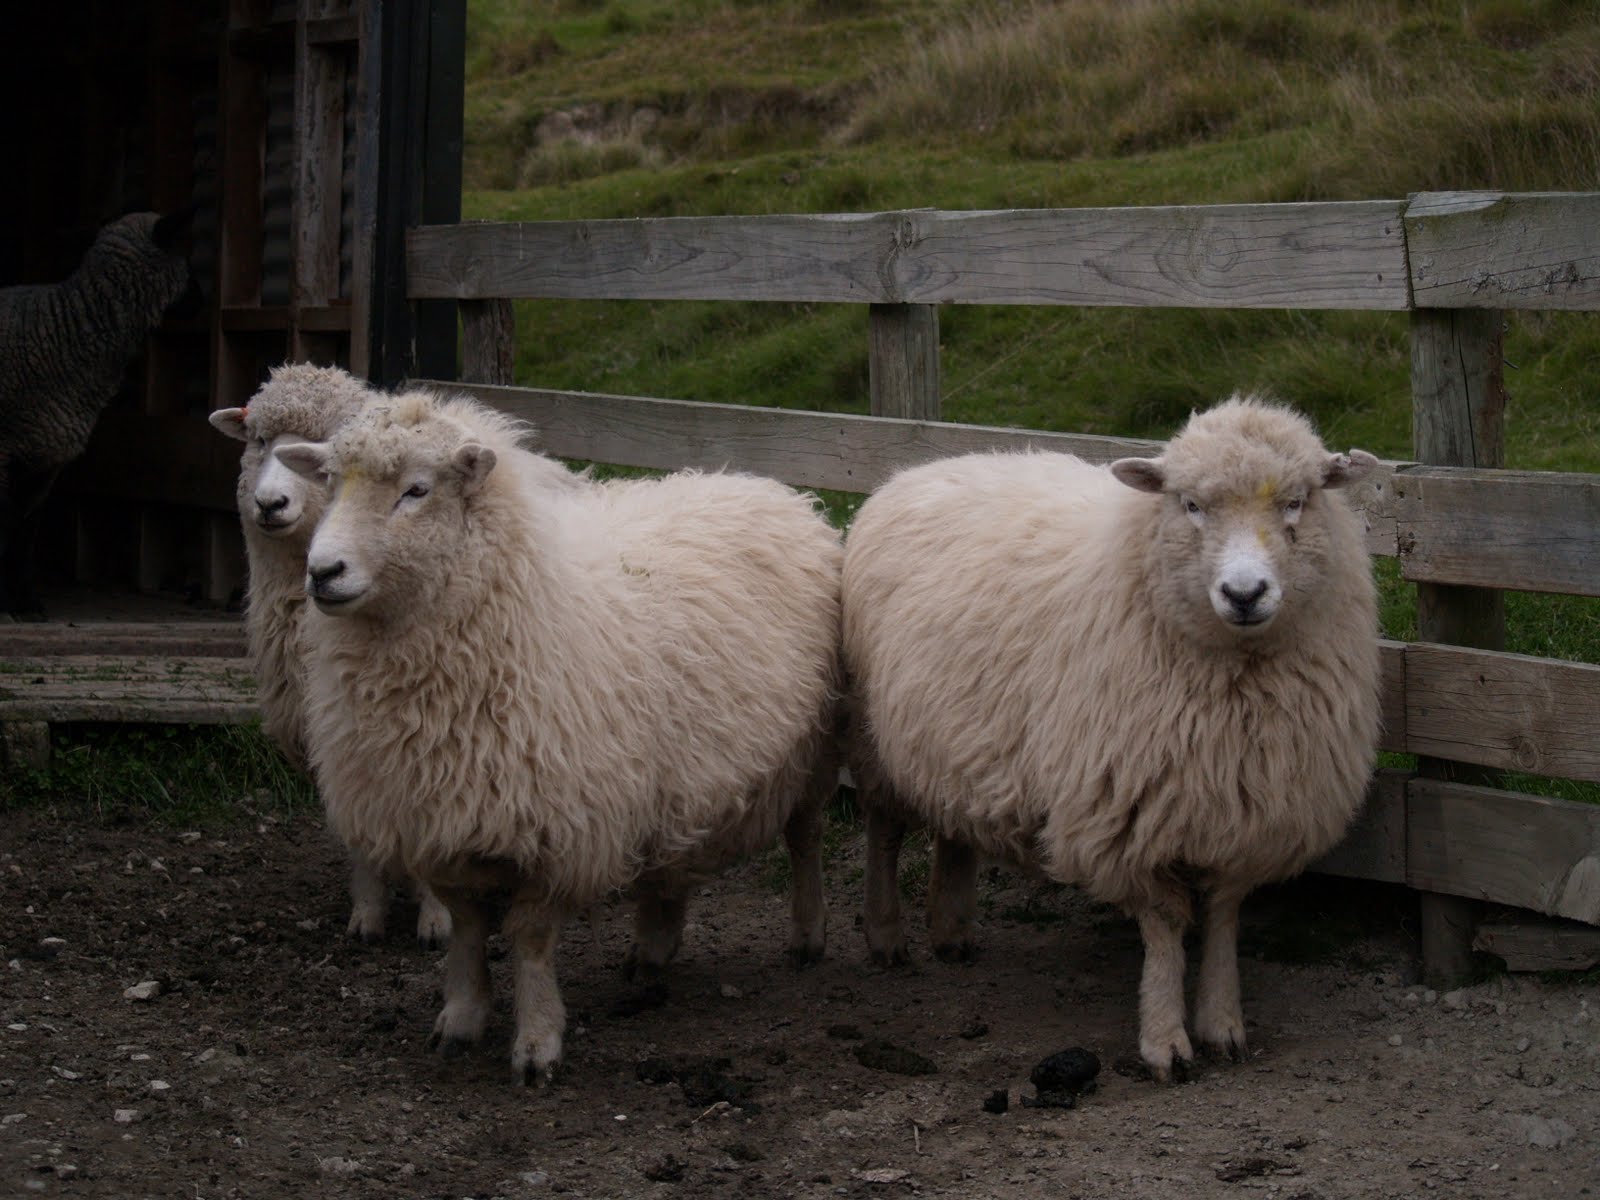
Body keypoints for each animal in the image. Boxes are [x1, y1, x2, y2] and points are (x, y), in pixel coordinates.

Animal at [0, 210, 195, 617]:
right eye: (186, 255)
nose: (203, 306)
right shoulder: (6, 447)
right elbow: (5, 522)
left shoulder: (45, 452)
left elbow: (24, 530)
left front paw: (26, 604)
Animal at [276, 389, 842, 1084]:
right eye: (328, 483)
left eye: (416, 490)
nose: (323, 571)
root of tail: (768, 487)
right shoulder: (436, 817)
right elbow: (466, 929)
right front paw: (461, 1017)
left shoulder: (561, 829)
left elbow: (530, 938)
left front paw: (537, 1042)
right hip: (672, 771)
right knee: (670, 862)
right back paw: (653, 948)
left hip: (814, 750)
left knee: (804, 839)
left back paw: (807, 935)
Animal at [842, 395, 1381, 1081]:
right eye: (1189, 503)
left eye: (1297, 500)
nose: (1244, 593)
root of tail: (920, 468)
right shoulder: (1124, 813)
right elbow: (1167, 922)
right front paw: (1165, 1040)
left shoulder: (1248, 809)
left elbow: (1225, 913)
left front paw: (1223, 1024)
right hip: (871, 735)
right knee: (884, 830)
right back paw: (885, 935)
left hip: (954, 734)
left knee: (953, 824)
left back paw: (951, 930)